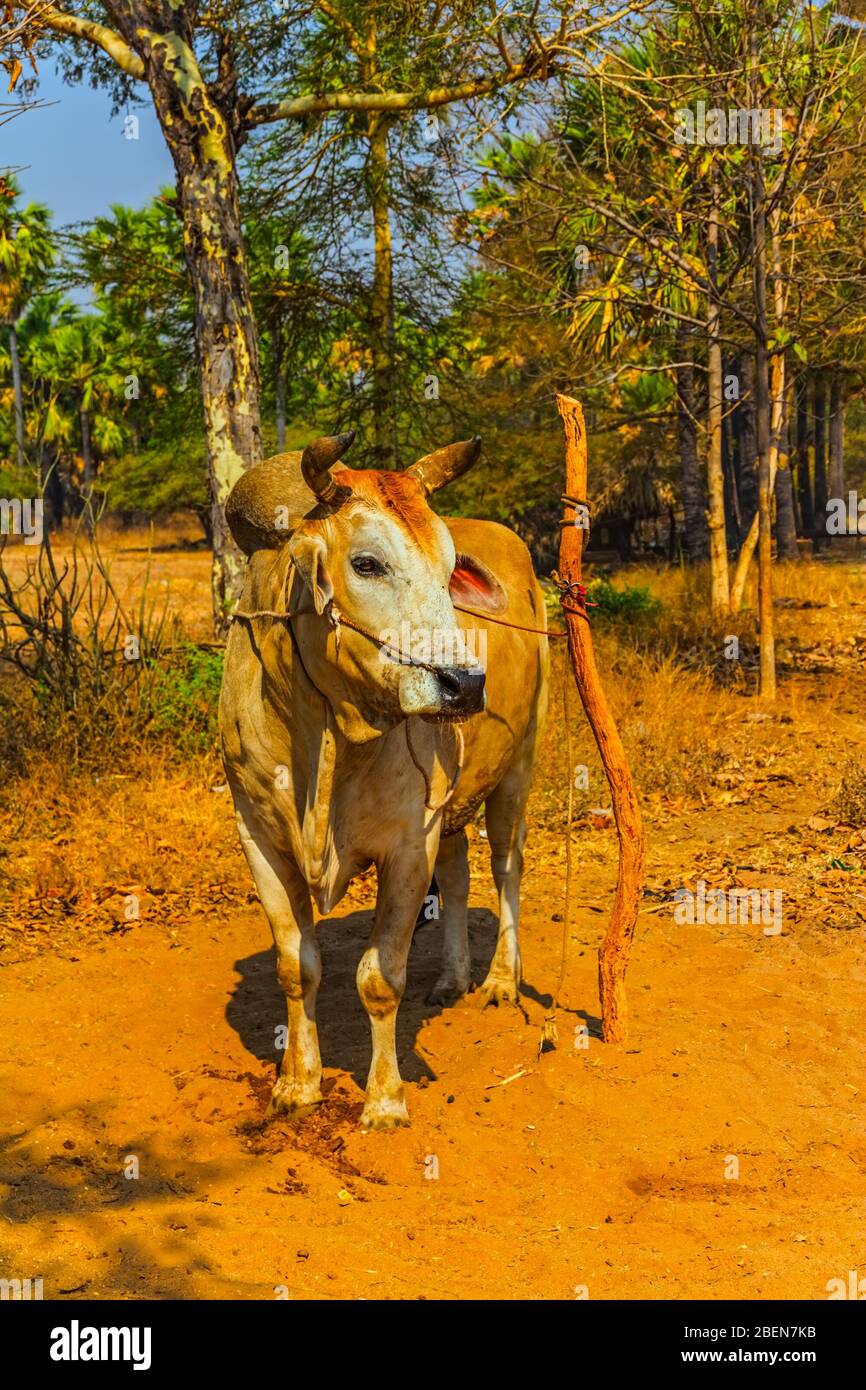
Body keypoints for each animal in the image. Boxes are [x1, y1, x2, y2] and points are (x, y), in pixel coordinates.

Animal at [219, 431, 549, 1129]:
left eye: (449, 571)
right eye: (367, 564)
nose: (464, 684)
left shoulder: (406, 844)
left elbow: (379, 978)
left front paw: (386, 1098)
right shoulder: (258, 837)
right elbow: (297, 967)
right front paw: (298, 1083)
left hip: (517, 770)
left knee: (507, 868)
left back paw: (500, 981)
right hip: (452, 803)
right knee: (459, 875)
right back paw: (452, 977)